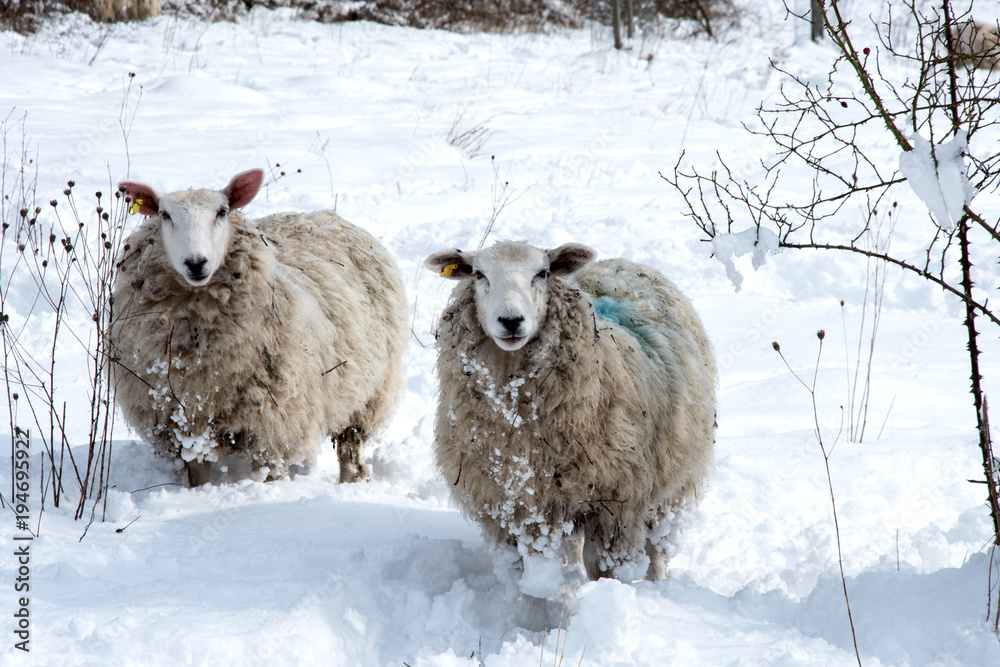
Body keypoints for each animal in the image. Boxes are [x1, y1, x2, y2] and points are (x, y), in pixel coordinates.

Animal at [111, 169, 409, 487]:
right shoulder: (187, 423)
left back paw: (349, 482)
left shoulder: (274, 427)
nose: (196, 263)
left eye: (222, 211)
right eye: (164, 214)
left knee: (349, 449)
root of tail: (319, 214)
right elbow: (198, 475)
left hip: (368, 394)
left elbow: (270, 475)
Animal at [426, 240, 716, 592]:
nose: (511, 320)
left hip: (674, 485)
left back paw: (657, 584)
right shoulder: (509, 508)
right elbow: (529, 576)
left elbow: (605, 570)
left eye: (542, 273)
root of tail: (622, 262)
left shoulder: (613, 506)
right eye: (479, 274)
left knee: (658, 546)